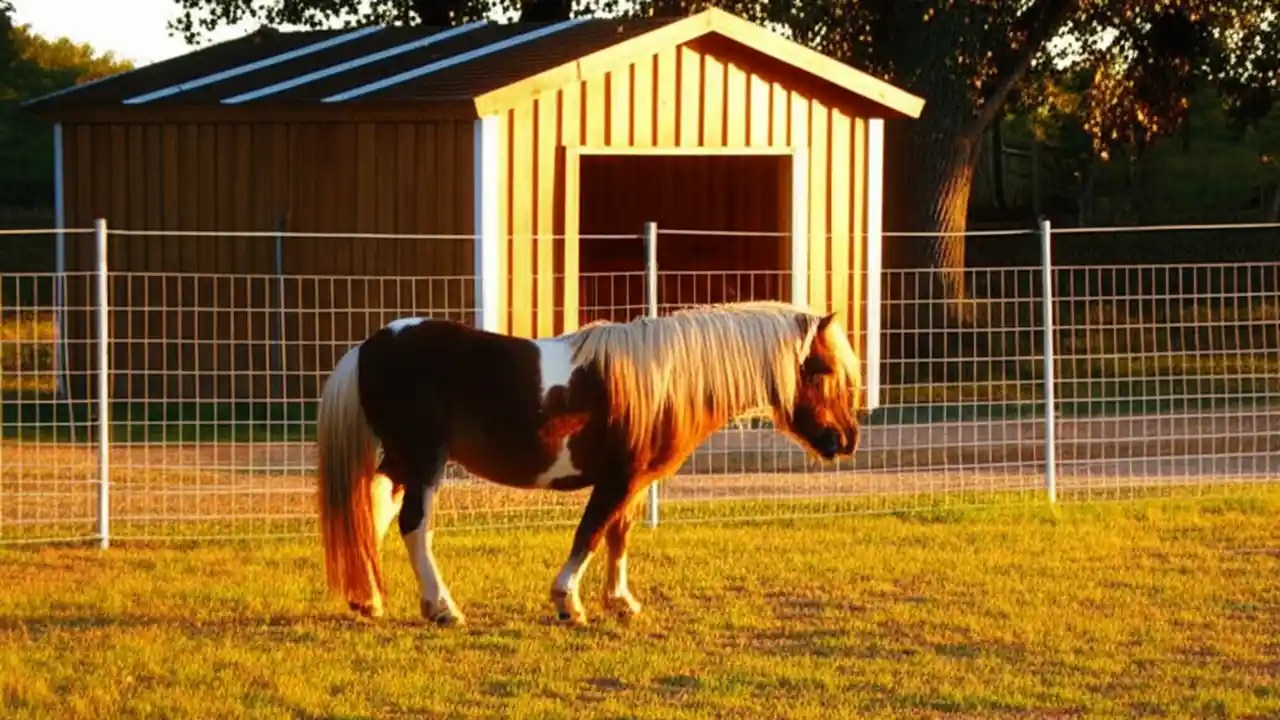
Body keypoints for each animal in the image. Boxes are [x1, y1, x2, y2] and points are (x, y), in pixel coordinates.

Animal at [314, 300, 865, 627]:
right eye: (821, 370)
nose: (847, 439)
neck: (662, 383)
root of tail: (369, 346)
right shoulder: (618, 479)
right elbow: (592, 533)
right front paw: (568, 602)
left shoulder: (635, 481)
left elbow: (619, 536)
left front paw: (620, 601)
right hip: (424, 460)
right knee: (413, 524)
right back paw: (442, 608)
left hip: (402, 460)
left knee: (373, 512)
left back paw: (369, 599)